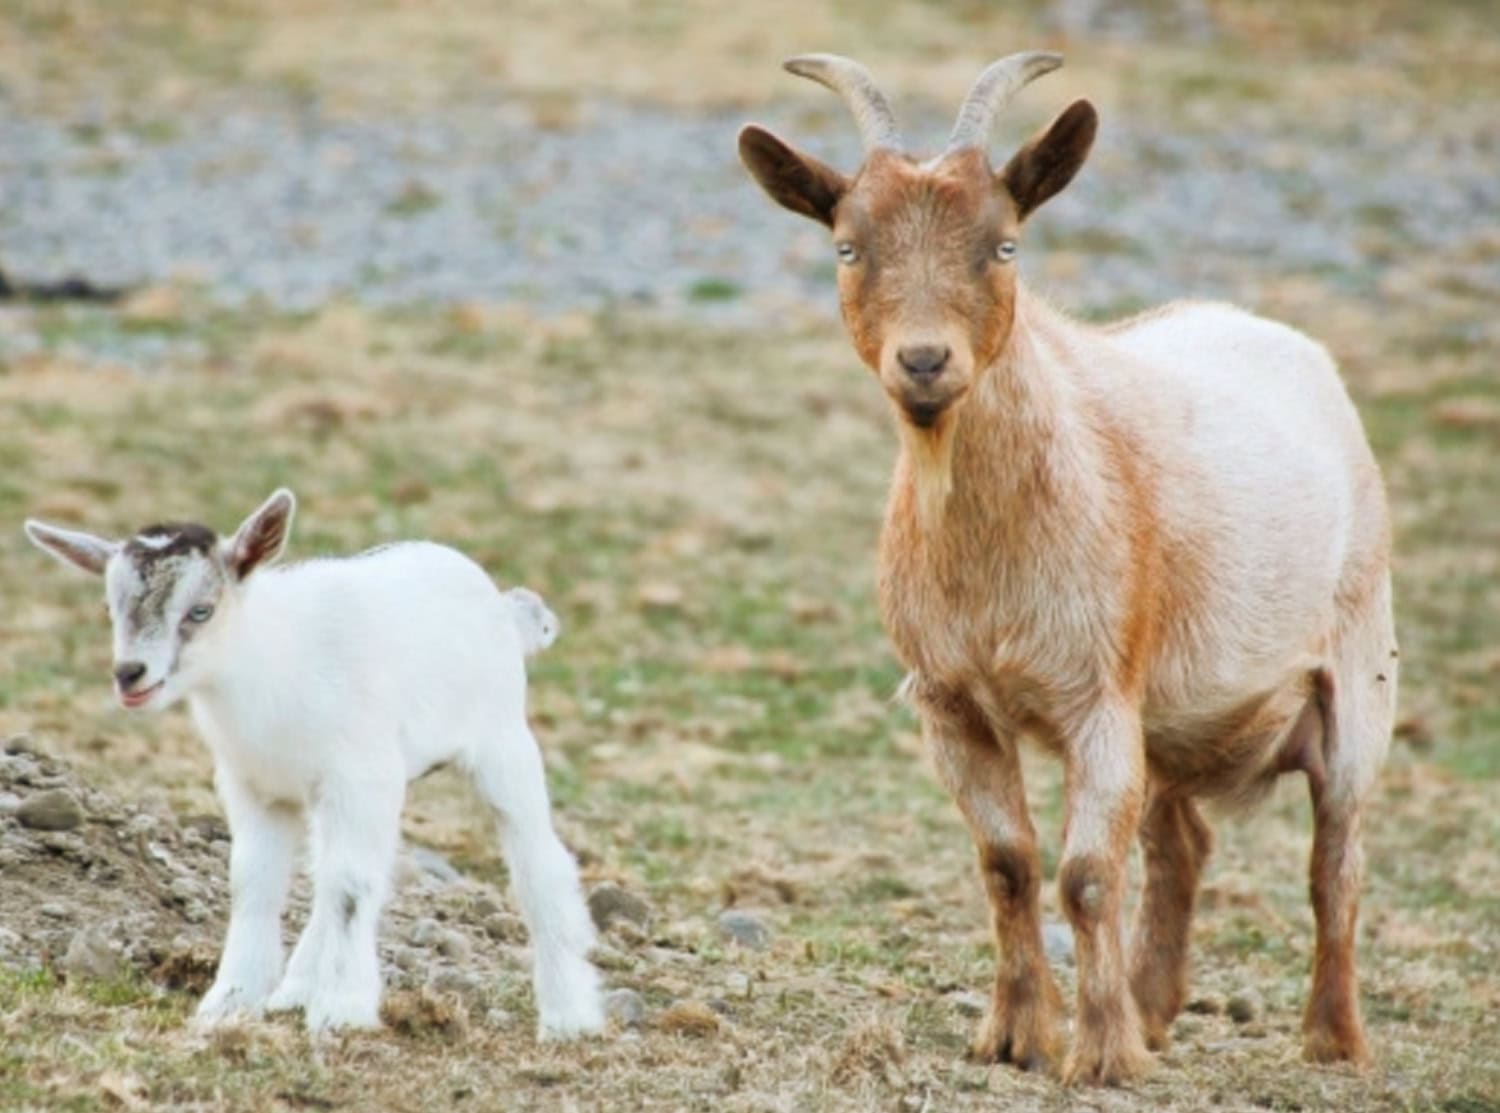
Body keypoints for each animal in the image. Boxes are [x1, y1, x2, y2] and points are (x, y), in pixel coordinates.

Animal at [24, 490, 603, 1038]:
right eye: (110, 609)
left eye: (200, 610)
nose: (130, 675)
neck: (270, 662)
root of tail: (507, 609)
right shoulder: (254, 787)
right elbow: (255, 881)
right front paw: (231, 1000)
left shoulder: (360, 777)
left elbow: (350, 884)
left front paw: (342, 1010)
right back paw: (296, 988)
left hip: (502, 743)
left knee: (536, 863)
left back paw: (569, 1015)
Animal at [740, 54, 1395, 1084]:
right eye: (847, 247)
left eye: (1004, 244)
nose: (923, 361)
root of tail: (1278, 336)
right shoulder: (950, 701)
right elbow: (1008, 861)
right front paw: (1017, 1035)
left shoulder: (1097, 690)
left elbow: (1087, 874)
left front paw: (1103, 1055)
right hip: (1172, 715)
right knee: (1182, 839)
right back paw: (1156, 1007)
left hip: (1361, 660)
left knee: (1337, 853)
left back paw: (1333, 1038)